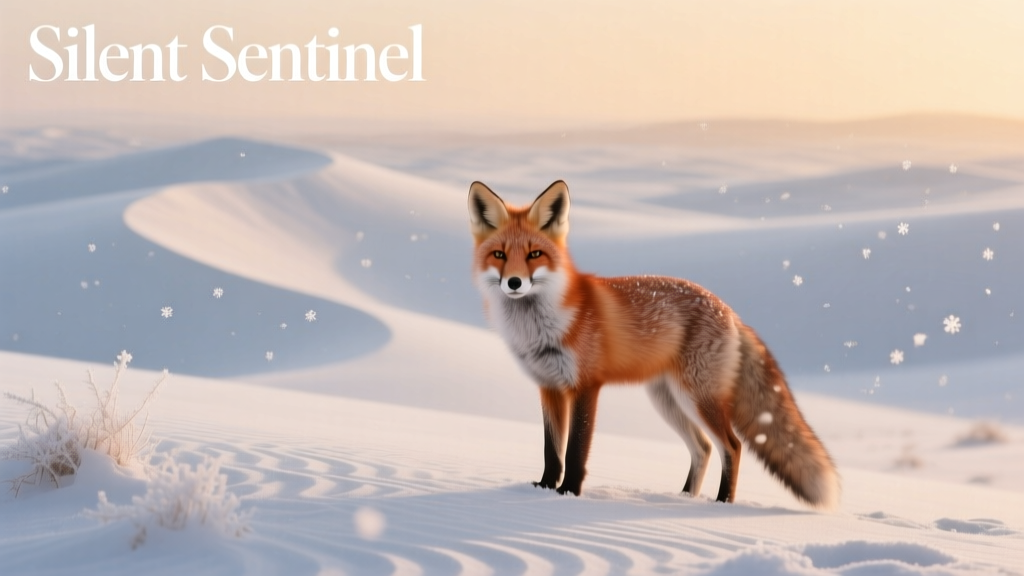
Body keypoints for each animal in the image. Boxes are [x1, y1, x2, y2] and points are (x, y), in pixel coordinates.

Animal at [468, 180, 840, 508]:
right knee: (703, 447)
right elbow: (551, 450)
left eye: (535, 254)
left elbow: (575, 450)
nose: (515, 283)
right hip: (668, 400)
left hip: (698, 397)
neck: (541, 327)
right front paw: (545, 487)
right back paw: (685, 497)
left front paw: (568, 493)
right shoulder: (549, 387)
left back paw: (722, 504)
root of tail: (729, 310)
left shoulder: (586, 385)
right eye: (499, 254)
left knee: (732, 446)